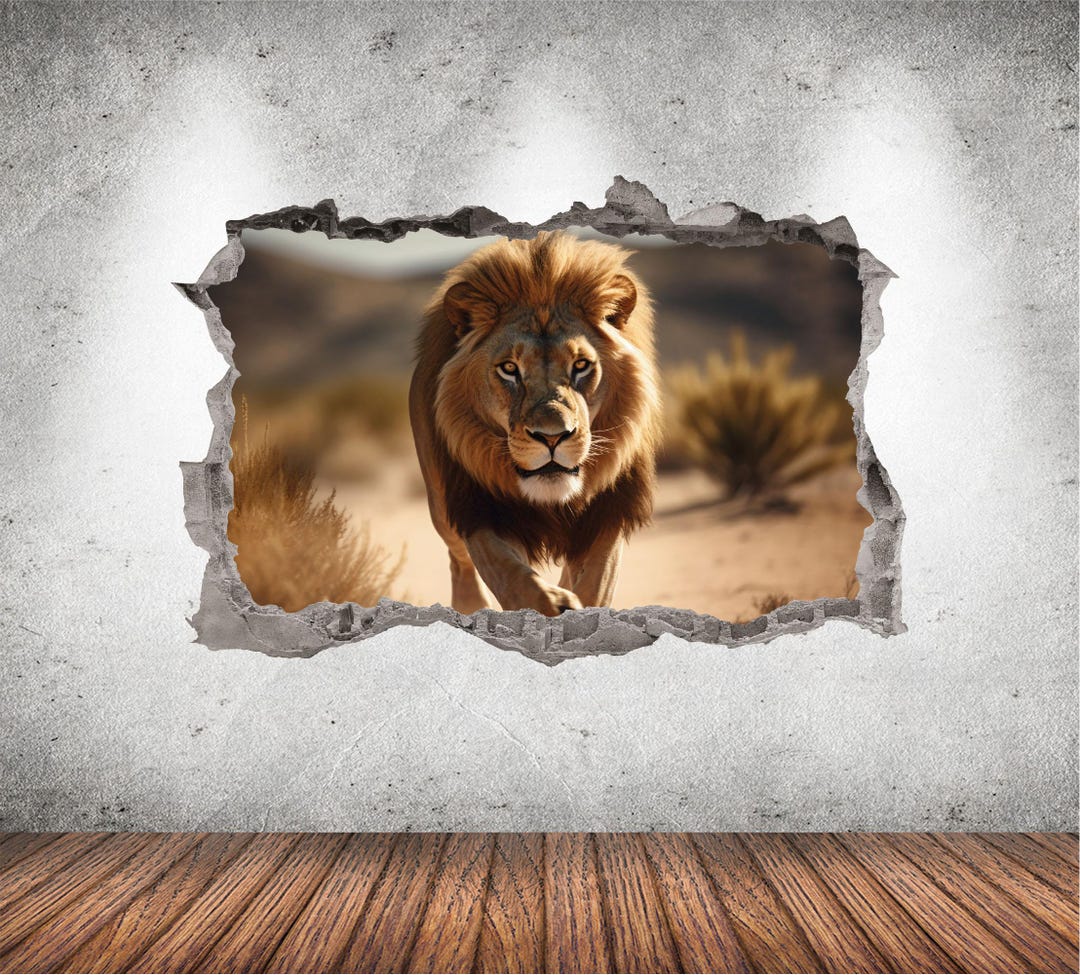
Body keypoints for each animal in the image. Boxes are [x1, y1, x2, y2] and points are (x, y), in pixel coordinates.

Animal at [409, 230, 662, 617]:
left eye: (581, 365)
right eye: (509, 369)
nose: (553, 437)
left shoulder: (609, 512)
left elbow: (595, 580)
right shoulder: (480, 508)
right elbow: (511, 574)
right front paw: (552, 604)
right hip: (440, 503)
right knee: (459, 559)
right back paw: (469, 605)